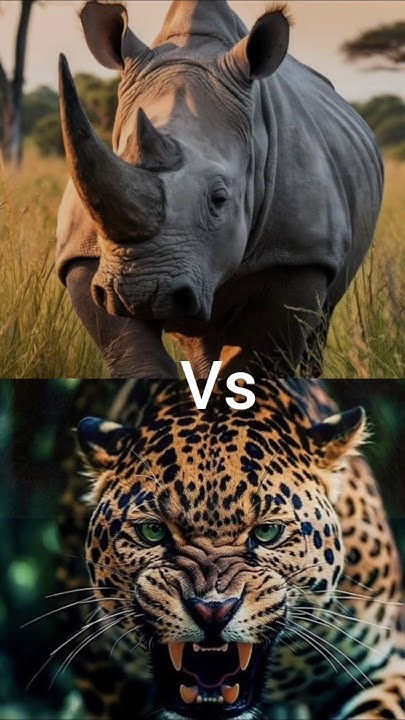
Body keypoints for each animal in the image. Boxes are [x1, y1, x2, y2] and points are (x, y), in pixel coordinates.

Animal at [56, 0, 383, 379]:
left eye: (219, 199)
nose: (139, 291)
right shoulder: (83, 254)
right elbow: (132, 355)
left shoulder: (298, 254)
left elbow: (254, 364)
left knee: (319, 322)